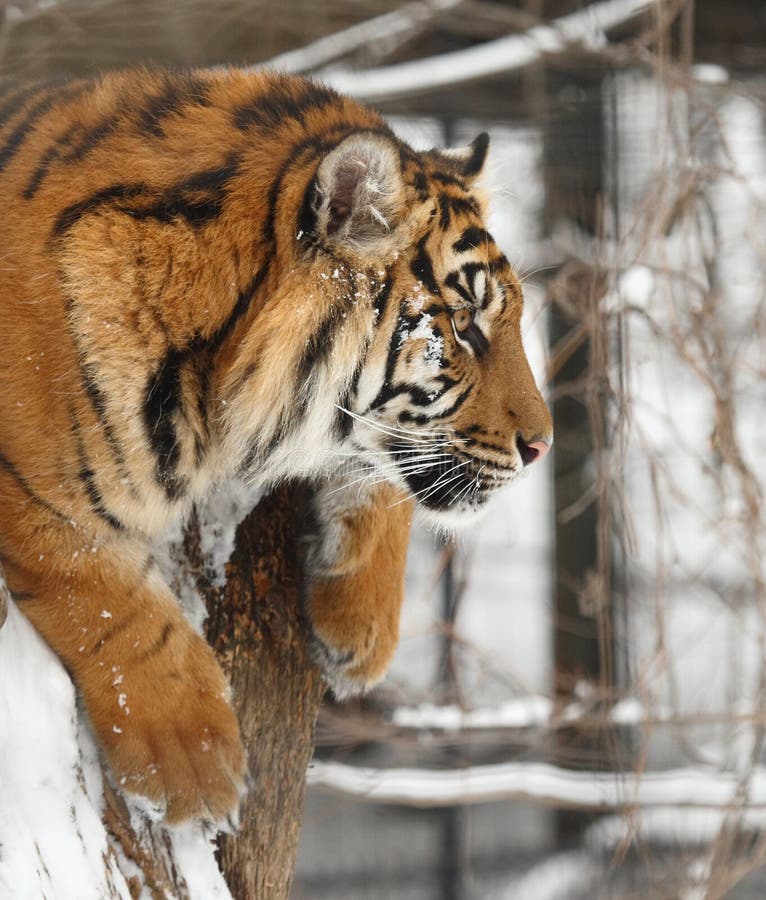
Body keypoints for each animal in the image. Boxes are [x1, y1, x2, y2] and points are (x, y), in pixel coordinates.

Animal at [0, 67, 552, 824]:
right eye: (465, 325)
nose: (543, 445)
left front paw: (361, 631)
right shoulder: (30, 492)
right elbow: (102, 595)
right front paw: (192, 763)